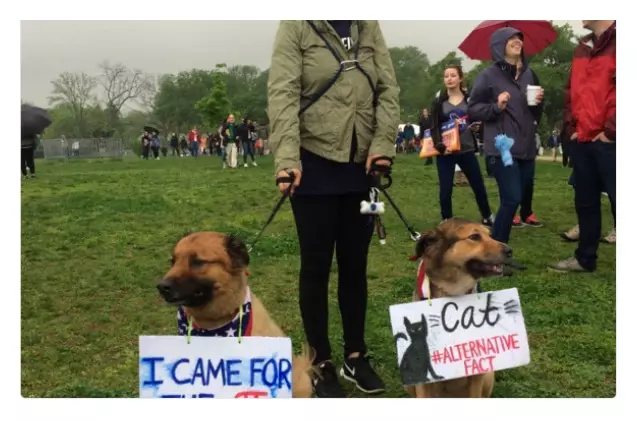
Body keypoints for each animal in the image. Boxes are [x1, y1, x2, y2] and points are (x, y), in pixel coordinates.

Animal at [402, 218, 512, 398]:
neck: (453, 295)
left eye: (490, 235)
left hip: (489, 375)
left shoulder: (477, 371)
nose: (510, 251)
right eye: (474, 237)